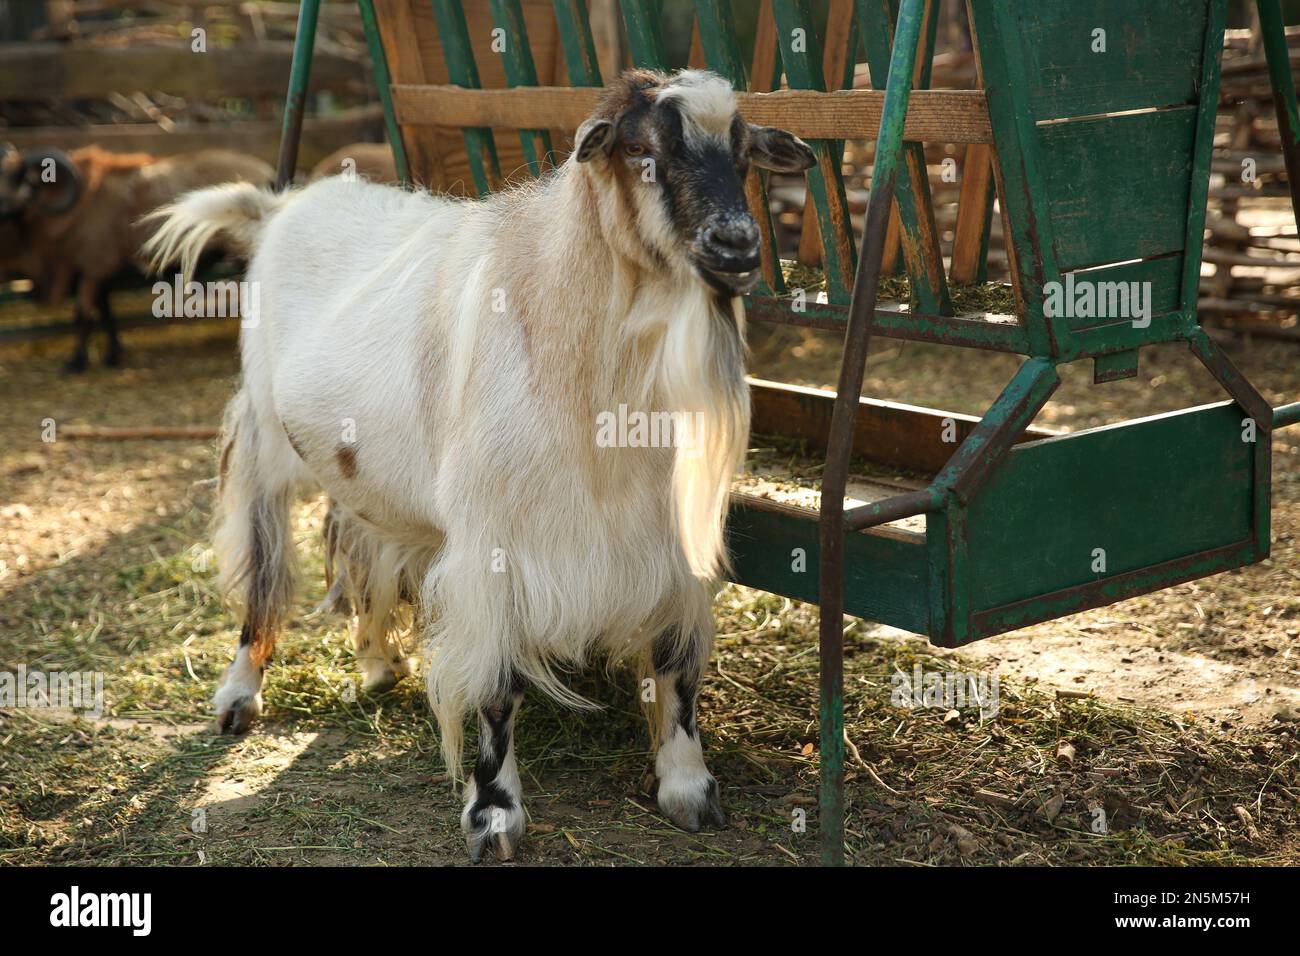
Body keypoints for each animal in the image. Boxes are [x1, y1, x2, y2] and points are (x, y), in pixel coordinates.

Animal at [0, 144, 273, 370]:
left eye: (23, 180)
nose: (3, 206)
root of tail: (266, 171)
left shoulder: (94, 264)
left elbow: (83, 314)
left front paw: (77, 362)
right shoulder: (101, 268)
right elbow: (105, 311)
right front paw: (113, 355)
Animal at [145, 69, 815, 862]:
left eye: (743, 155)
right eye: (643, 152)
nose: (736, 245)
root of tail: (285, 204)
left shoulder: (665, 534)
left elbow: (676, 659)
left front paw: (689, 789)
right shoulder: (494, 548)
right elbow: (497, 687)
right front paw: (494, 814)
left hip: (356, 454)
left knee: (357, 533)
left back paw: (377, 662)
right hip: (262, 441)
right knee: (263, 569)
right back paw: (239, 694)